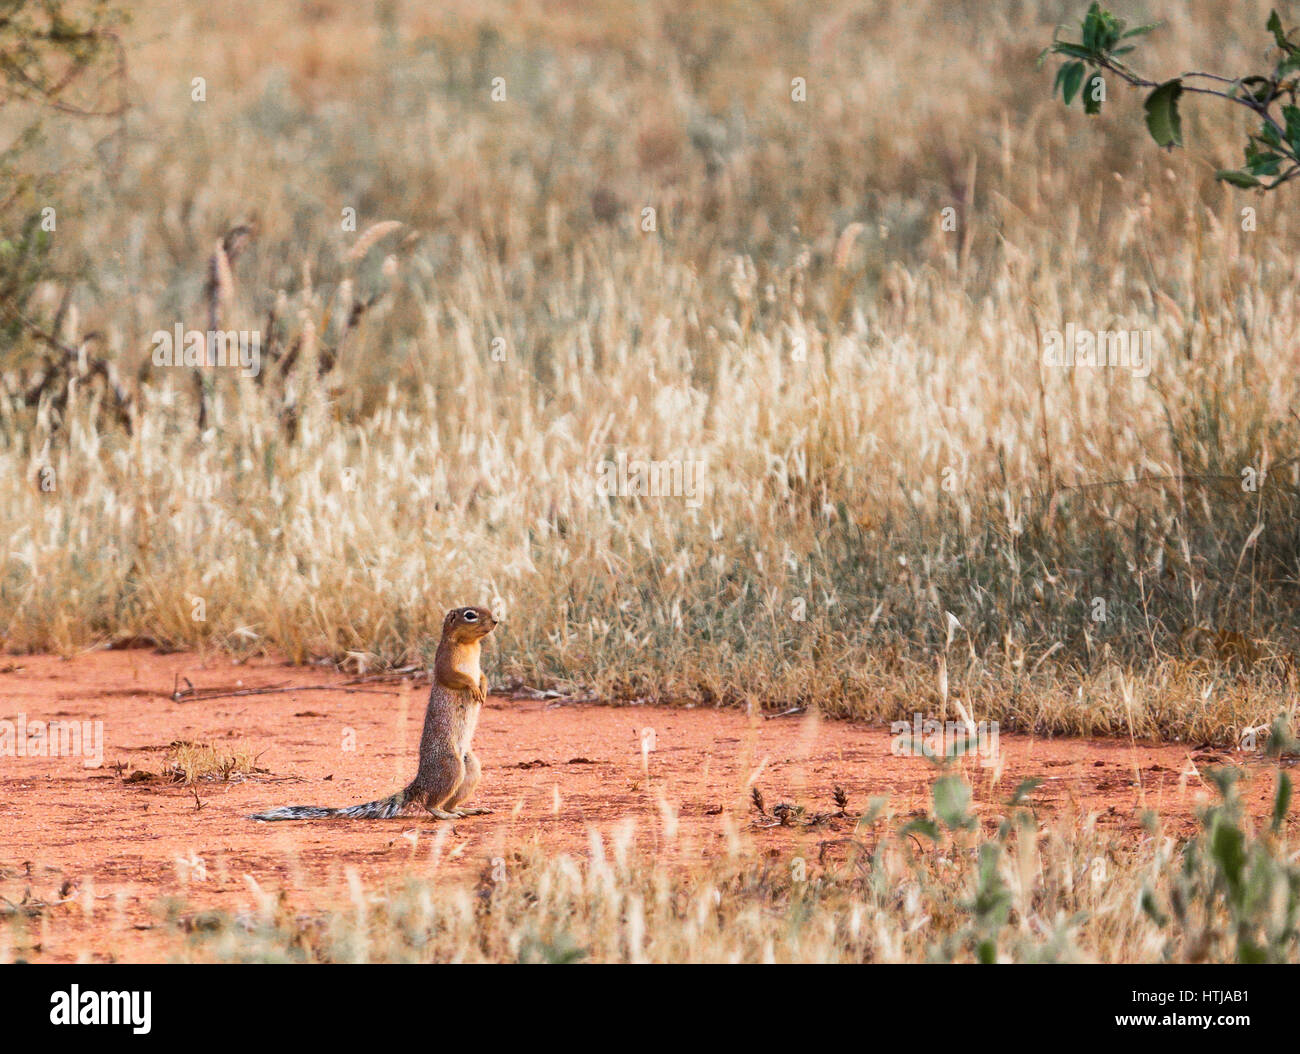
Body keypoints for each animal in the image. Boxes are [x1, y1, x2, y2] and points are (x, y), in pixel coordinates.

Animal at [250, 606, 497, 822]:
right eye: (470, 615)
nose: (496, 620)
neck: (470, 645)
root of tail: (420, 782)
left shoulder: (477, 665)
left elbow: (482, 675)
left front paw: (483, 687)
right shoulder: (445, 661)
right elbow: (456, 677)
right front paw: (474, 688)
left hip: (470, 768)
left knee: (449, 801)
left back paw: (467, 809)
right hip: (450, 767)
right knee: (431, 804)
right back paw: (445, 814)